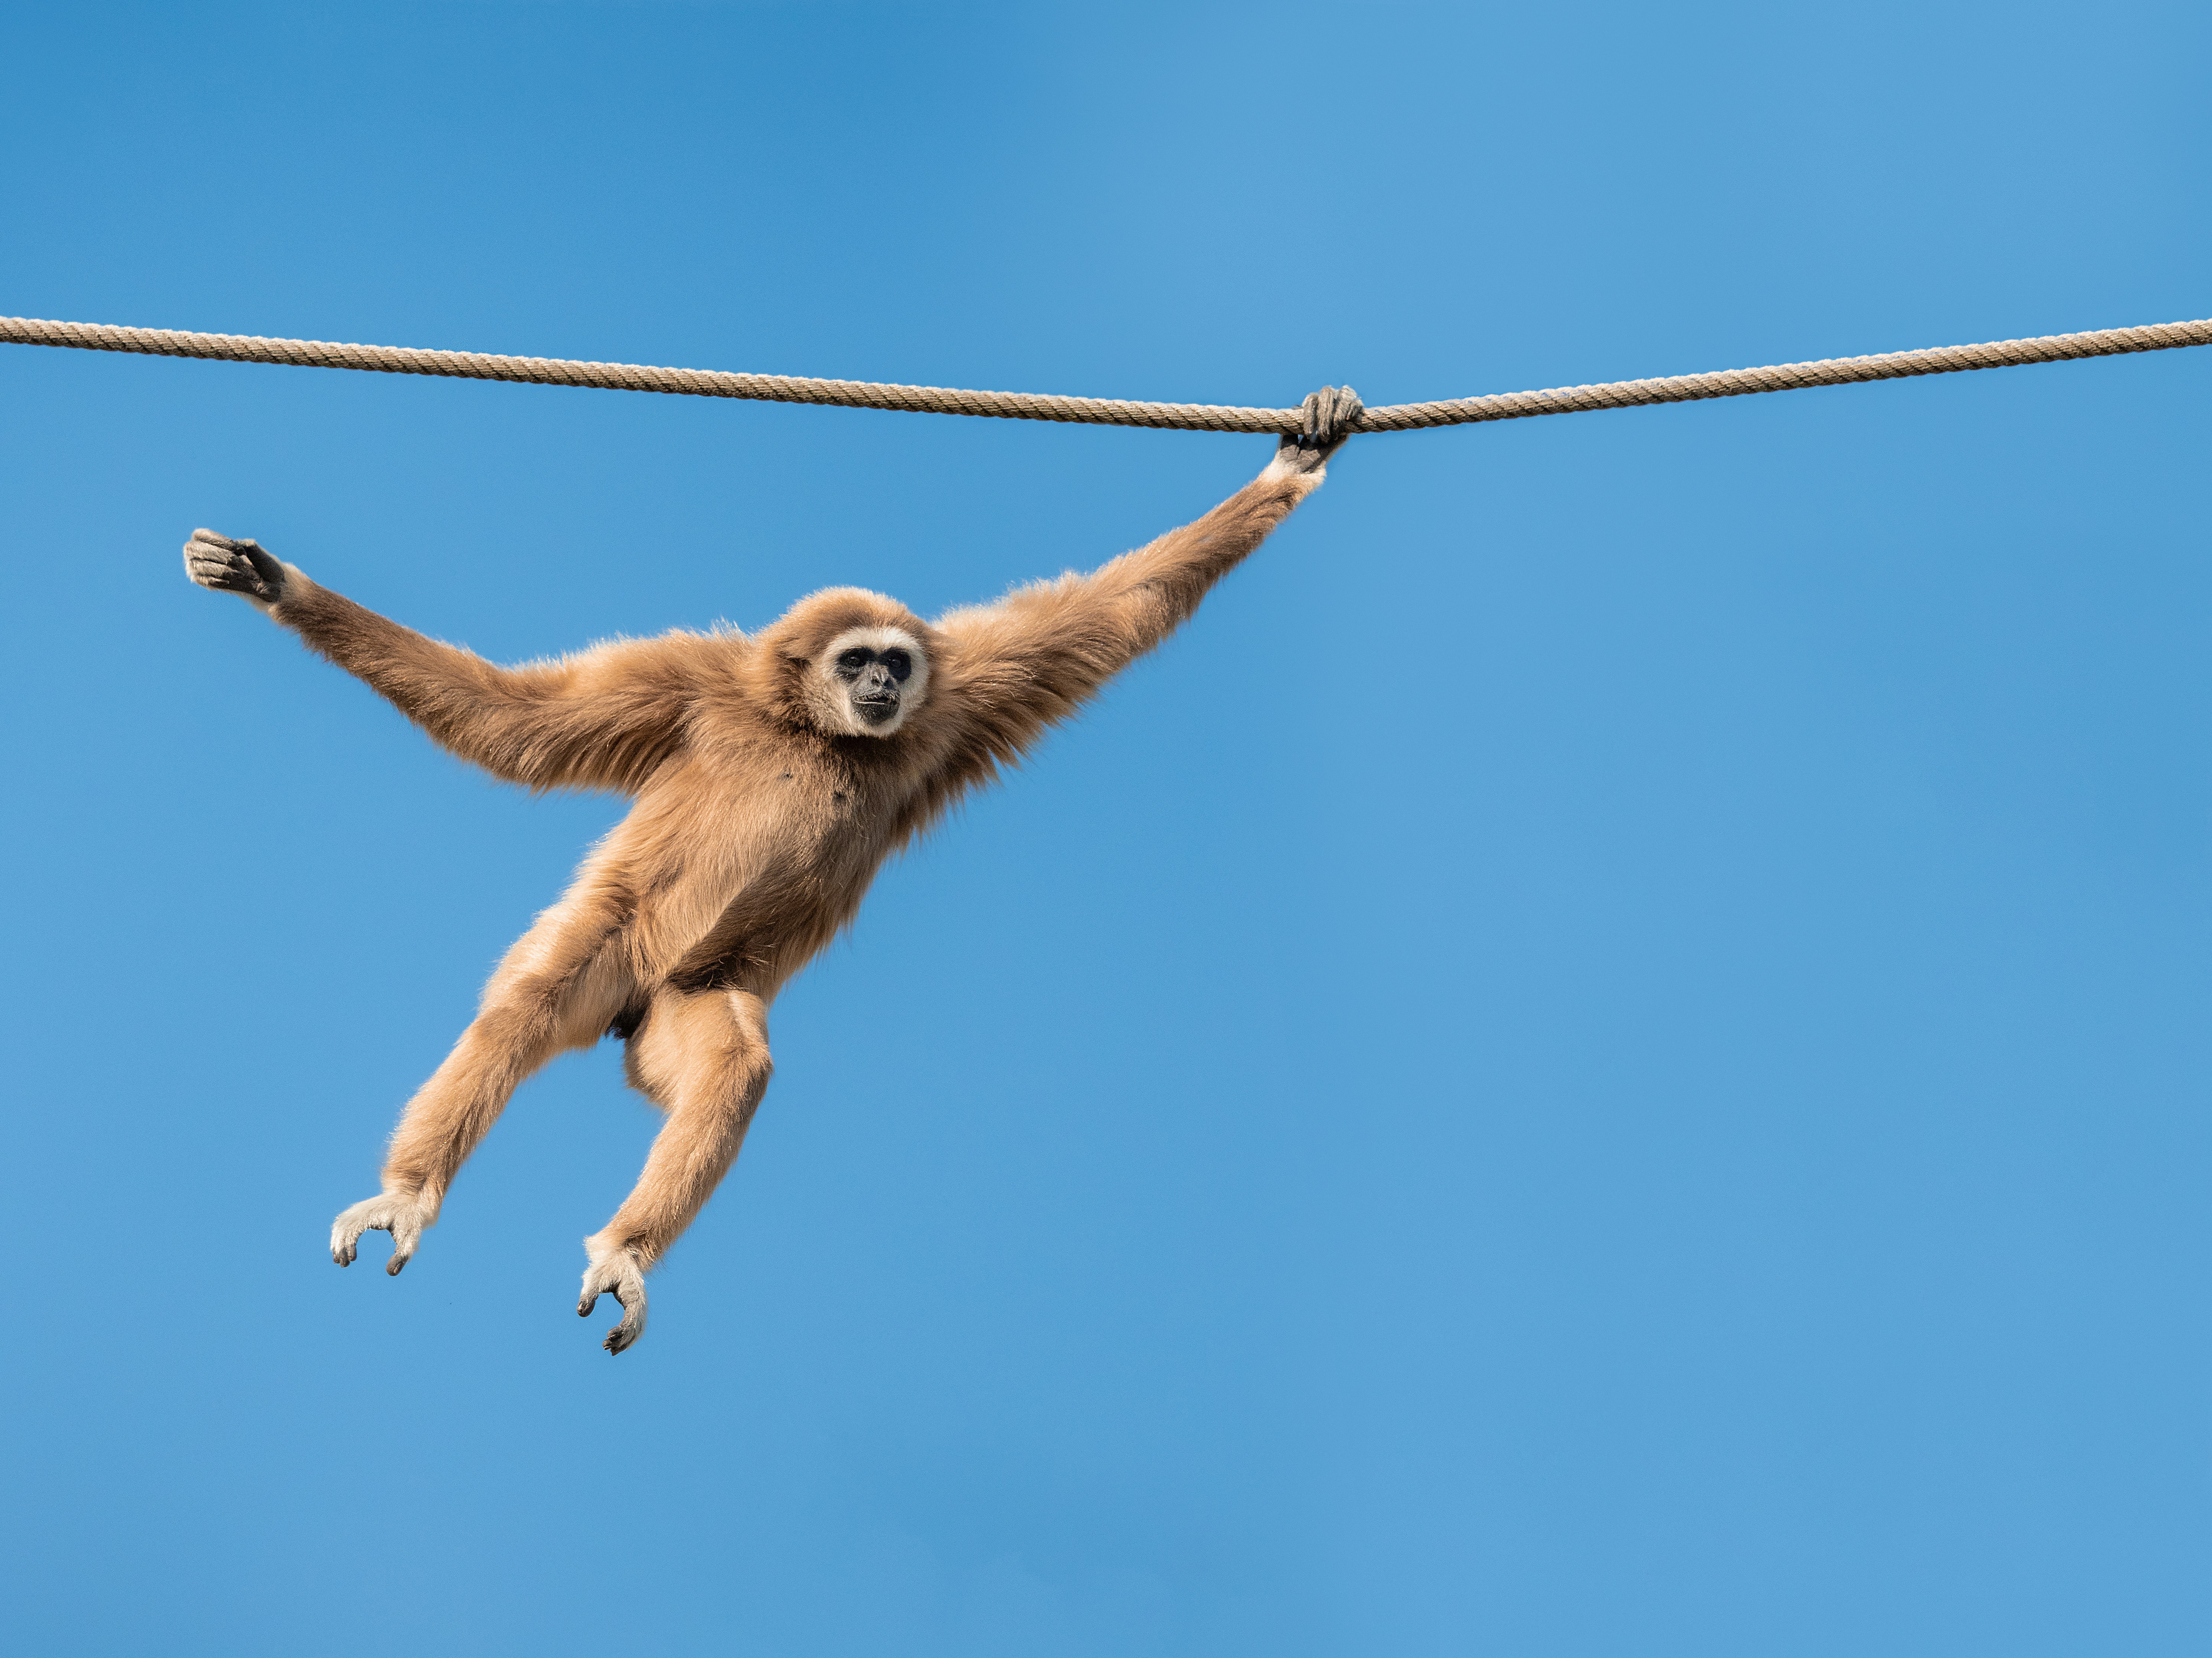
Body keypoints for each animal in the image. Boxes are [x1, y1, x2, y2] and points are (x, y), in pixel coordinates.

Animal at [182, 385, 1361, 1354]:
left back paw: (623, 1249)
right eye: (858, 659)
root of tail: (631, 1006)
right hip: (619, 943)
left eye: (896, 662)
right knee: (528, 1004)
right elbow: (518, 721)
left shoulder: (950, 708)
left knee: (732, 1066)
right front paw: (279, 587)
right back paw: (412, 1192)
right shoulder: (688, 684)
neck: (815, 731)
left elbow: (1113, 612)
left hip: (682, 998)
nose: (883, 684)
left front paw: (1294, 462)